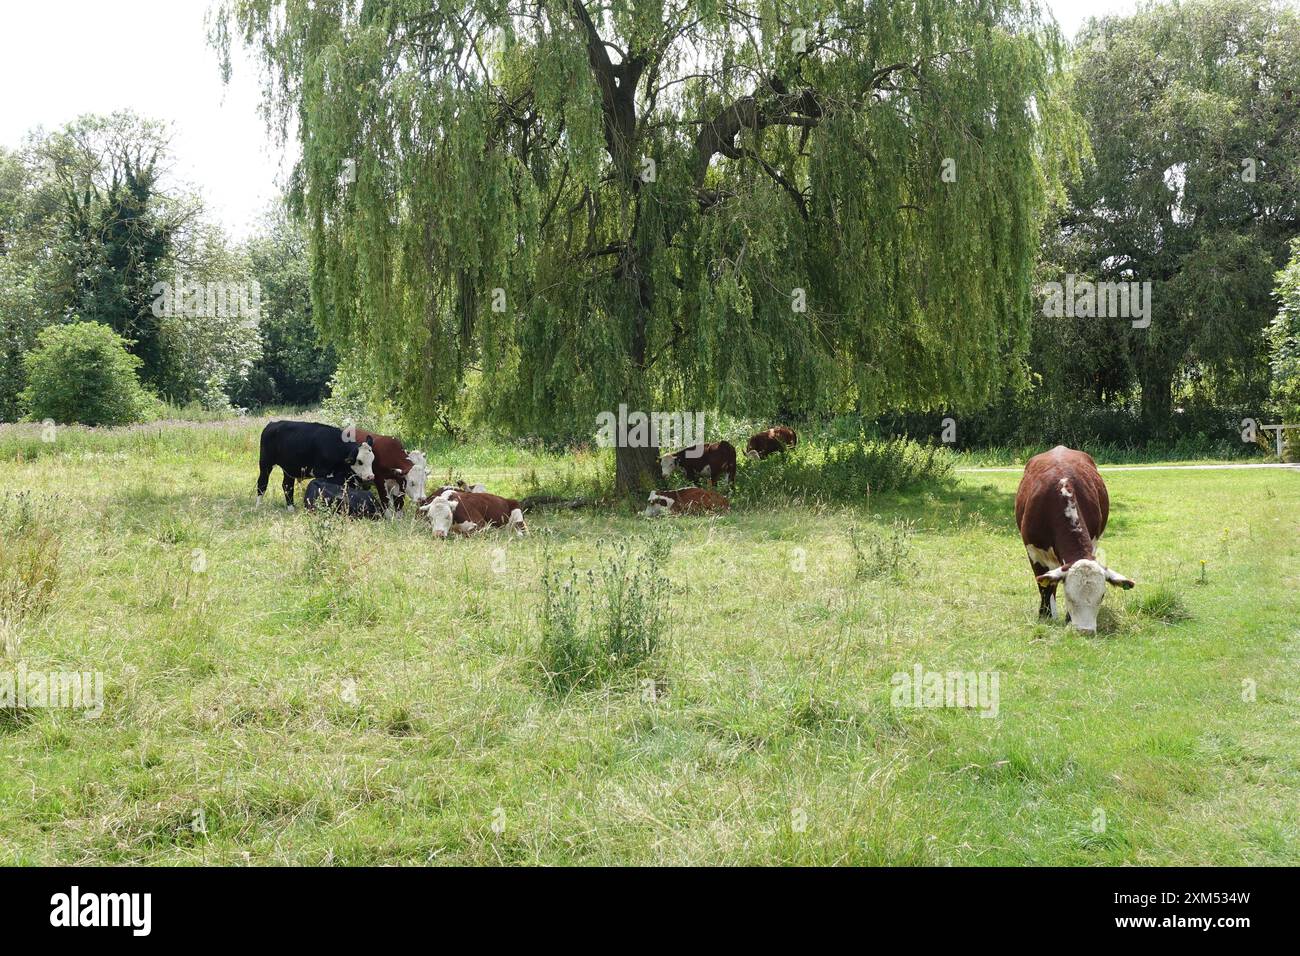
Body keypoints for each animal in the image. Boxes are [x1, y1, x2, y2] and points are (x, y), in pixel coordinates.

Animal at [1015, 446, 1136, 633]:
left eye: (1102, 596)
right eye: (1069, 596)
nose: (1085, 631)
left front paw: (1067, 619)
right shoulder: (1034, 551)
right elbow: (1045, 587)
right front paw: (1046, 616)